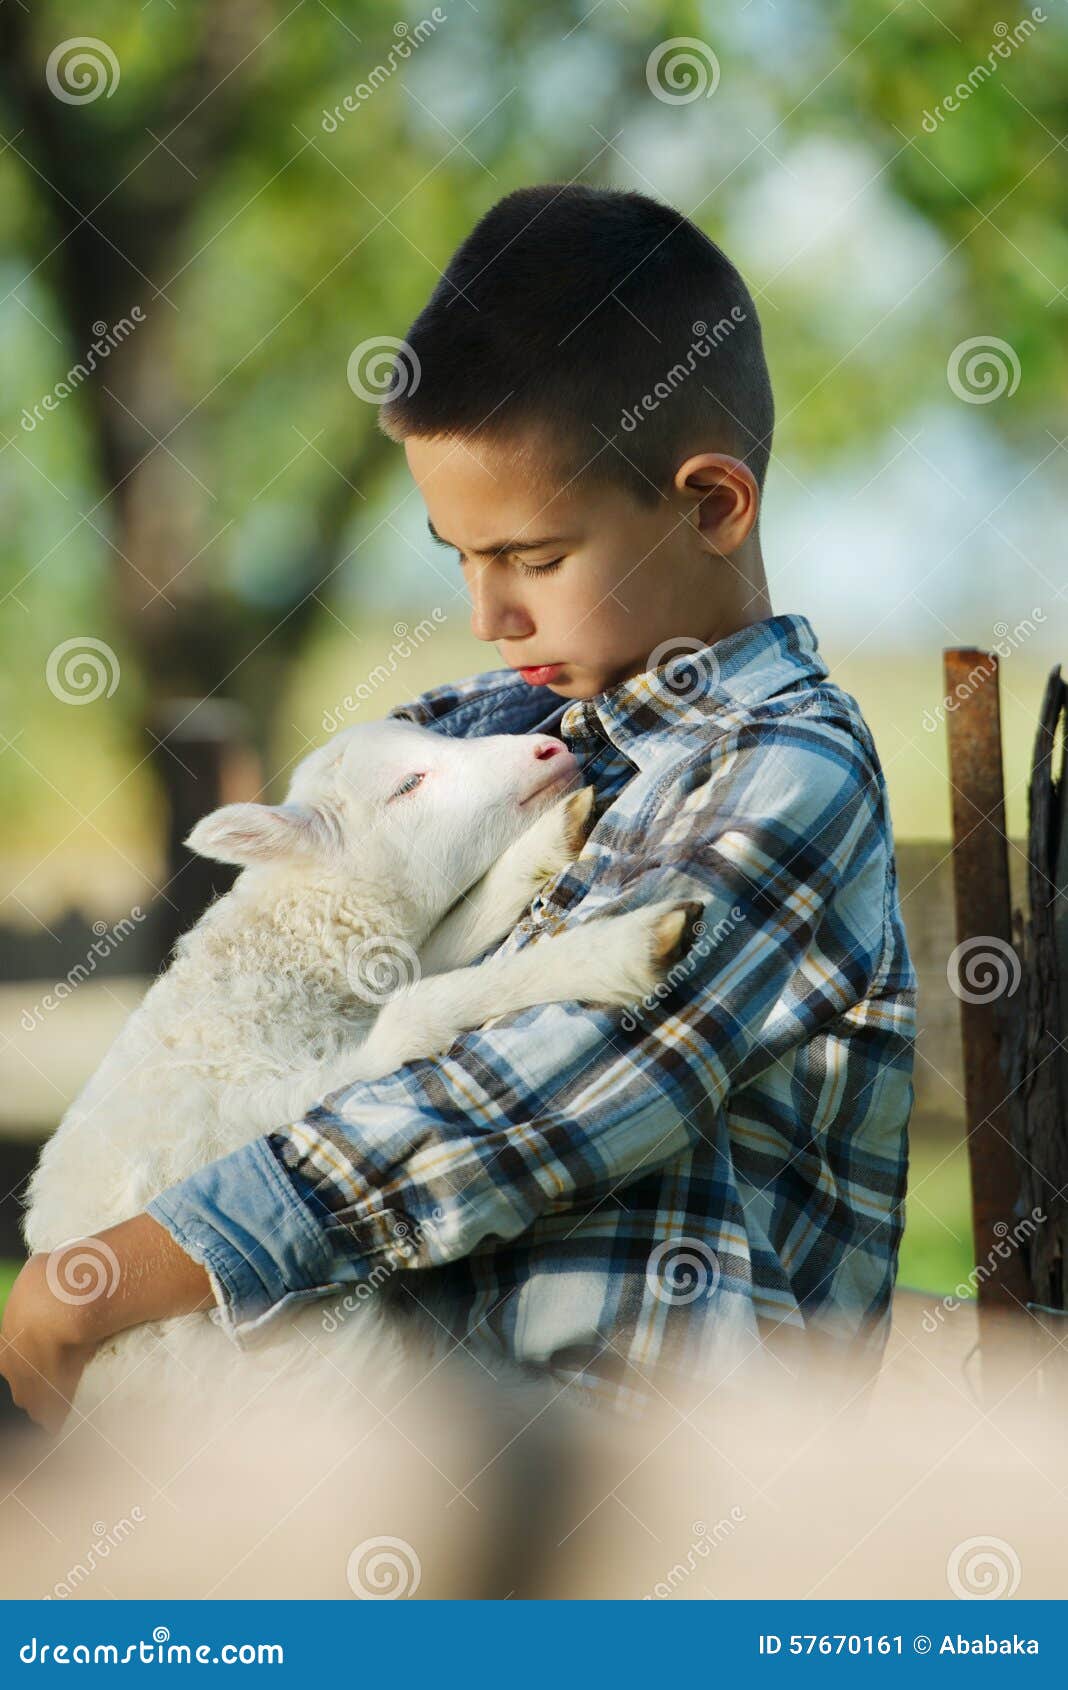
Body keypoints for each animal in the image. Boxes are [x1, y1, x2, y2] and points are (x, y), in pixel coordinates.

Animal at [22, 718, 696, 1434]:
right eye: (407, 786)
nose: (550, 749)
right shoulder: (259, 1110)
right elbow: (418, 1007)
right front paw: (626, 949)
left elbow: (434, 954)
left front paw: (550, 839)